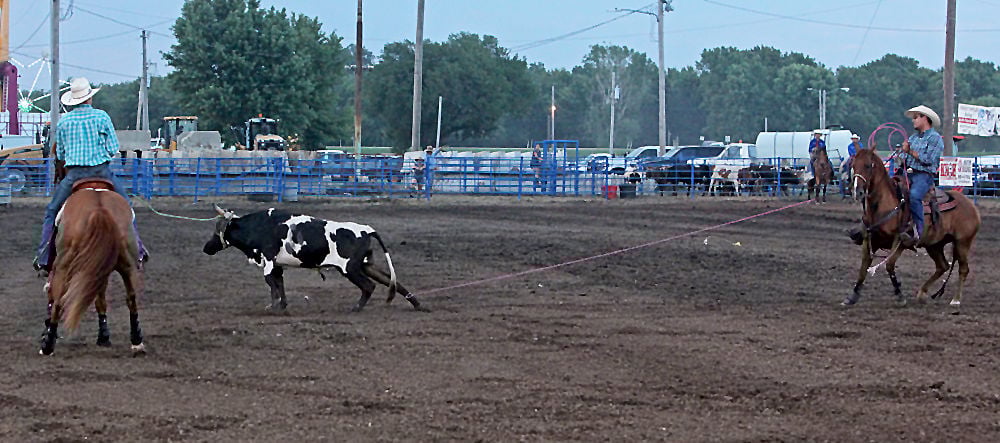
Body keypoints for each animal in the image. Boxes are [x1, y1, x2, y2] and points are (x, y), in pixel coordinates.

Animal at [203, 205, 428, 313]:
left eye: (216, 231)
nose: (207, 248)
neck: (259, 226)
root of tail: (366, 230)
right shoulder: (277, 265)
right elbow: (279, 284)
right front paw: (281, 306)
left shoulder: (268, 261)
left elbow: (272, 284)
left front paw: (274, 307)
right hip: (366, 265)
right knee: (390, 280)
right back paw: (417, 304)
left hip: (350, 268)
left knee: (369, 286)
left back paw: (356, 308)